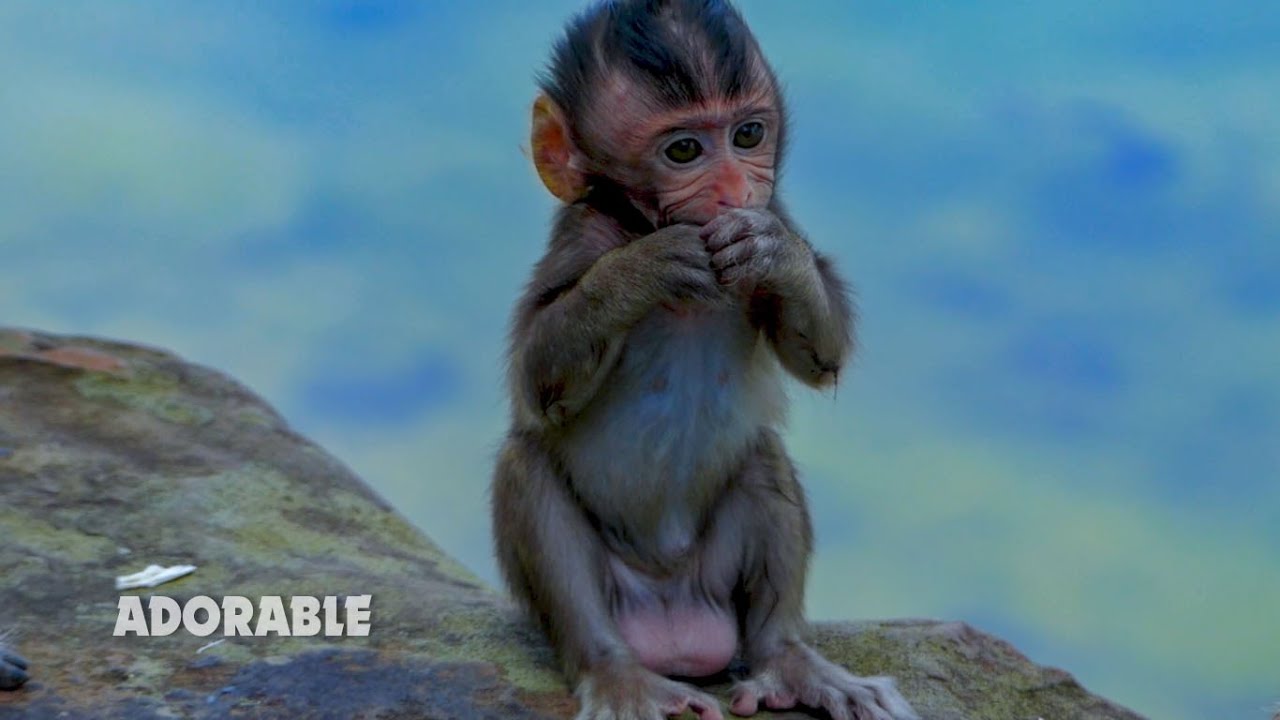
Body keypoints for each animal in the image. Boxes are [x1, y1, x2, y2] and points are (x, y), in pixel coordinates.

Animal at [491, 2, 918, 719]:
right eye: (685, 150)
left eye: (748, 135)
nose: (734, 188)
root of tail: (675, 623)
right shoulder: (582, 235)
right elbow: (537, 383)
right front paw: (643, 270)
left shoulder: (773, 207)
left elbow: (818, 355)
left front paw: (777, 255)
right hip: (615, 598)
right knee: (527, 464)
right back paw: (618, 675)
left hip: (716, 581)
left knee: (762, 459)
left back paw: (792, 662)